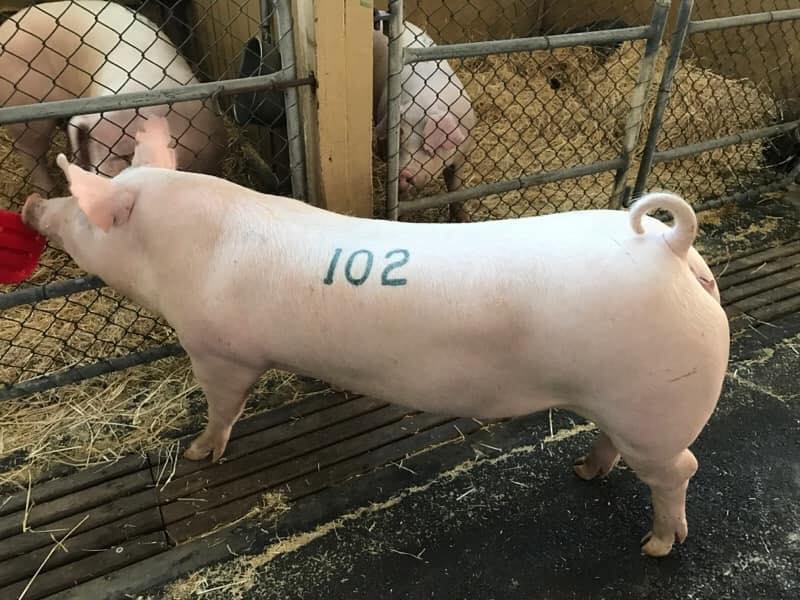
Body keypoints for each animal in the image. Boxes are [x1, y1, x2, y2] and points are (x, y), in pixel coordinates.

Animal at [22, 117, 729, 557]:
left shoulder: (218, 350)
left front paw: (198, 454)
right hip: (621, 404)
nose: (32, 208)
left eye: (84, 211)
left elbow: (223, 407)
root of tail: (671, 248)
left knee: (681, 468)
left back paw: (657, 545)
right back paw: (582, 470)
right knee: (617, 445)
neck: (181, 251)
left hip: (656, 405)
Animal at [373, 22, 477, 222]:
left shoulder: (463, 152)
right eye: (401, 136)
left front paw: (463, 219)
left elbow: (455, 188)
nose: (403, 173)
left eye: (426, 141)